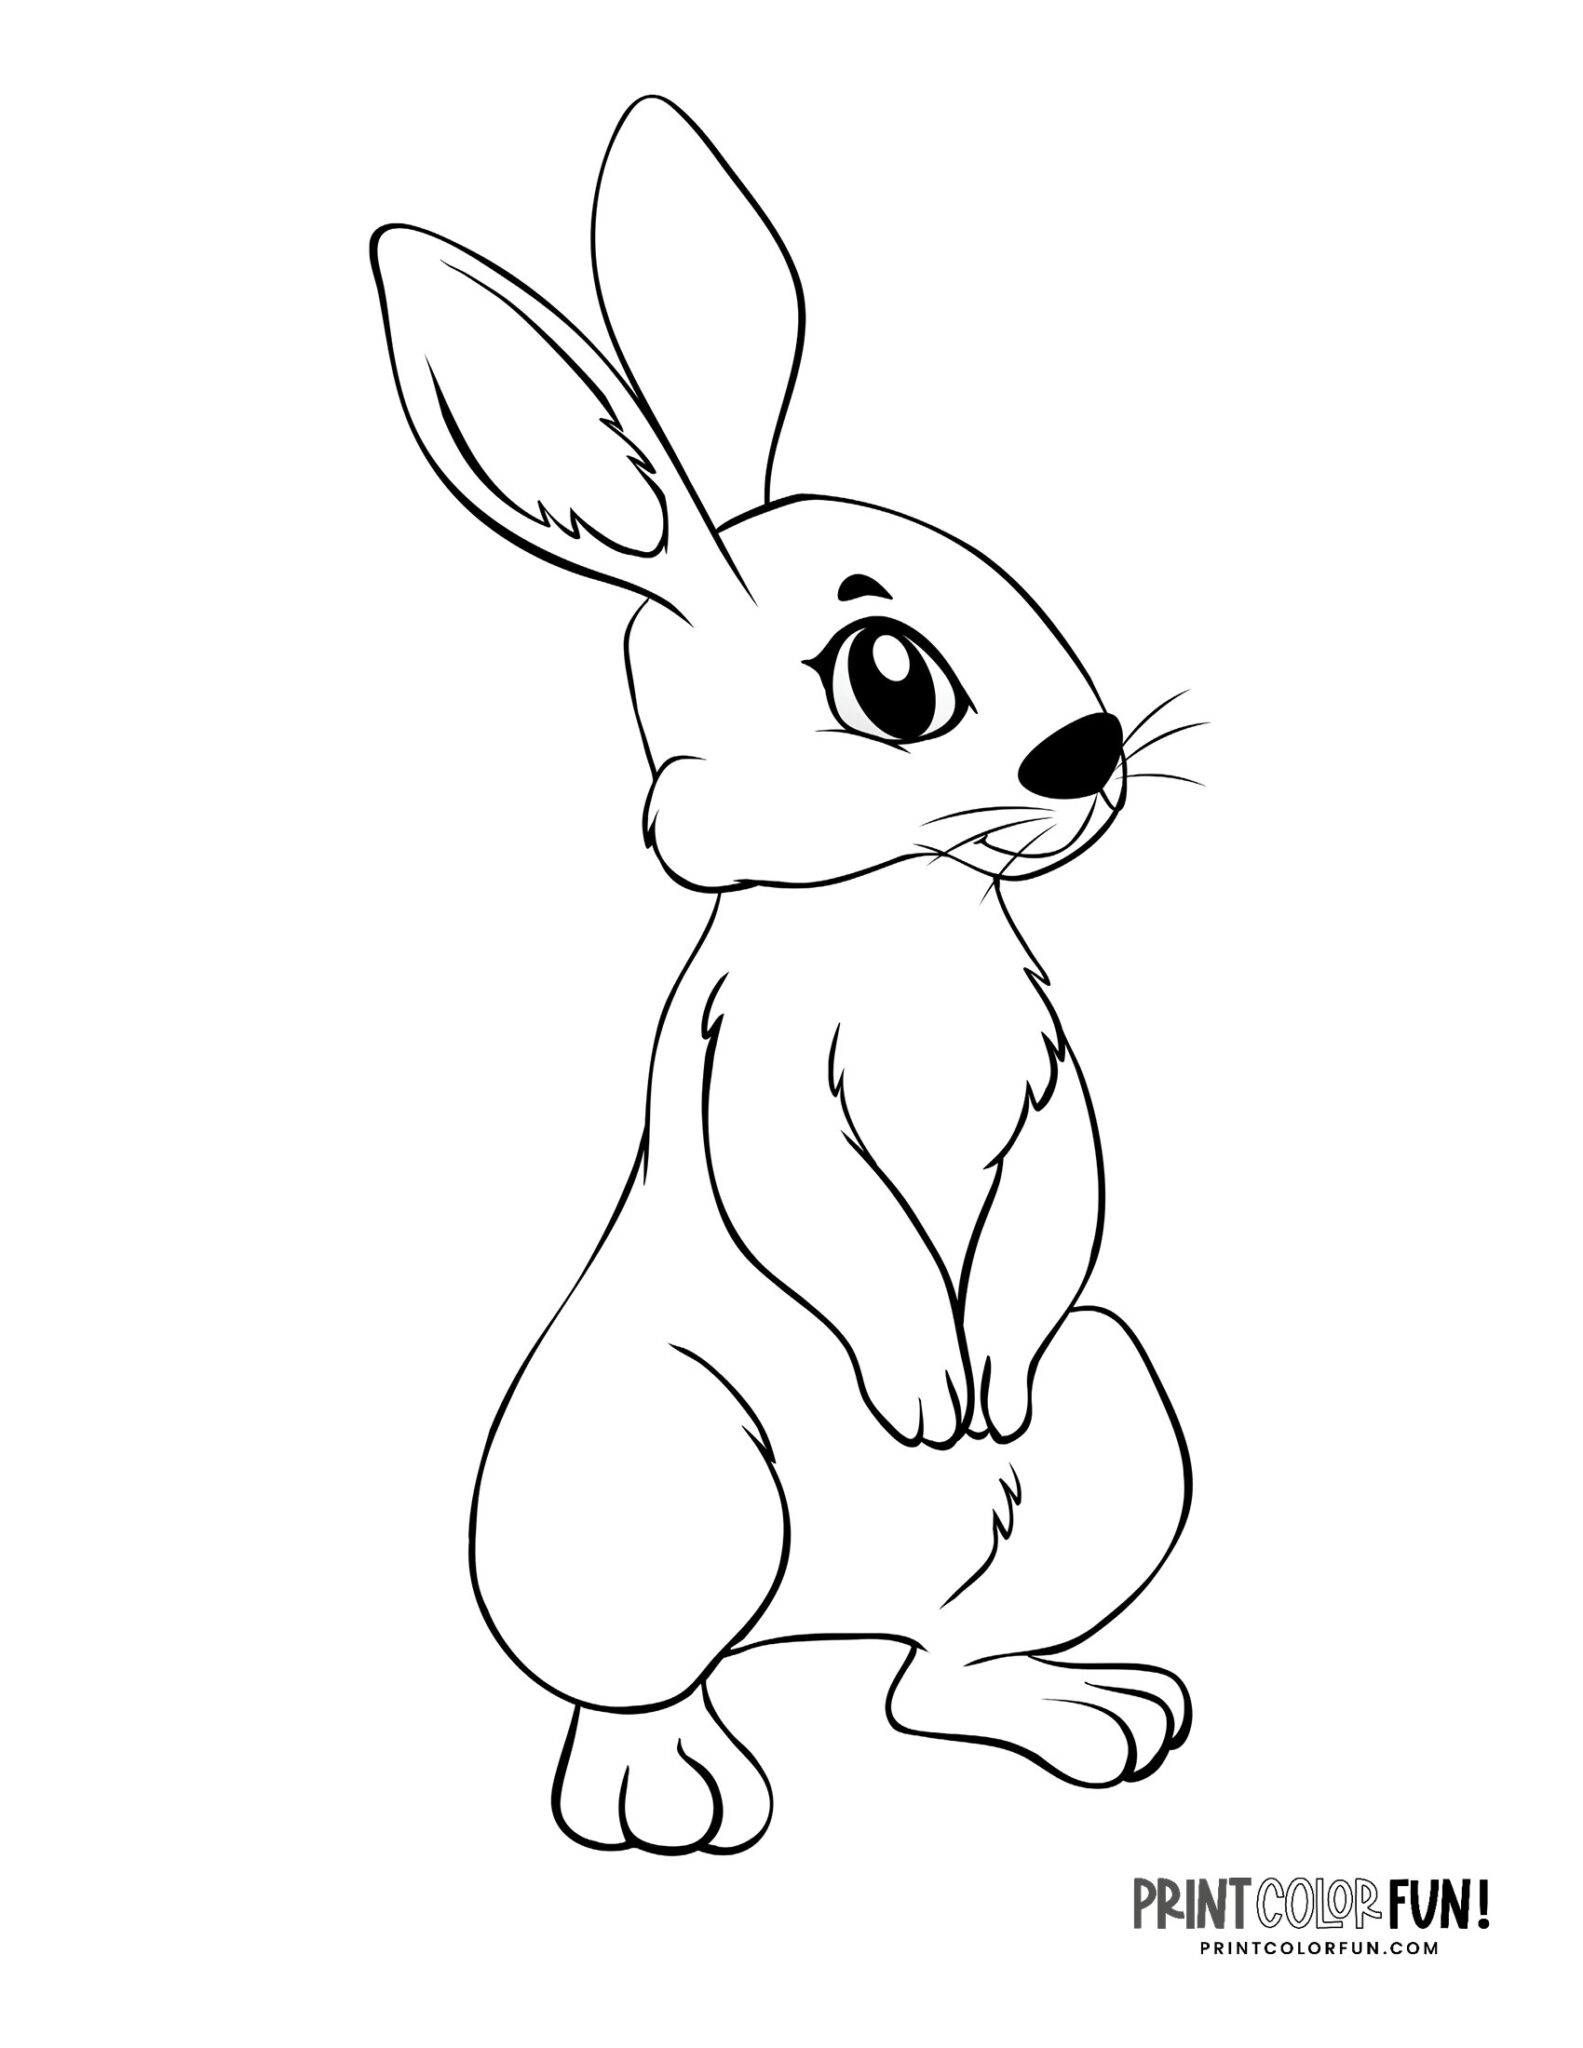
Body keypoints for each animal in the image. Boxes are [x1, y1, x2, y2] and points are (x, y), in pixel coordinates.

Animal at [370, 96, 1192, 1855]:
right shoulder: (757, 1082)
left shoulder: (1044, 1084)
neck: (895, 908)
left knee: (932, 1678)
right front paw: (925, 1395)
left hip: (1111, 1413)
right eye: (887, 676)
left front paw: (980, 1388)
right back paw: (666, 1792)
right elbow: (822, 1211)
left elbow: (1054, 1202)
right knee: (649, 1683)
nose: (1087, 753)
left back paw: (1091, 1713)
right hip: (665, 1468)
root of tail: (809, 1625)